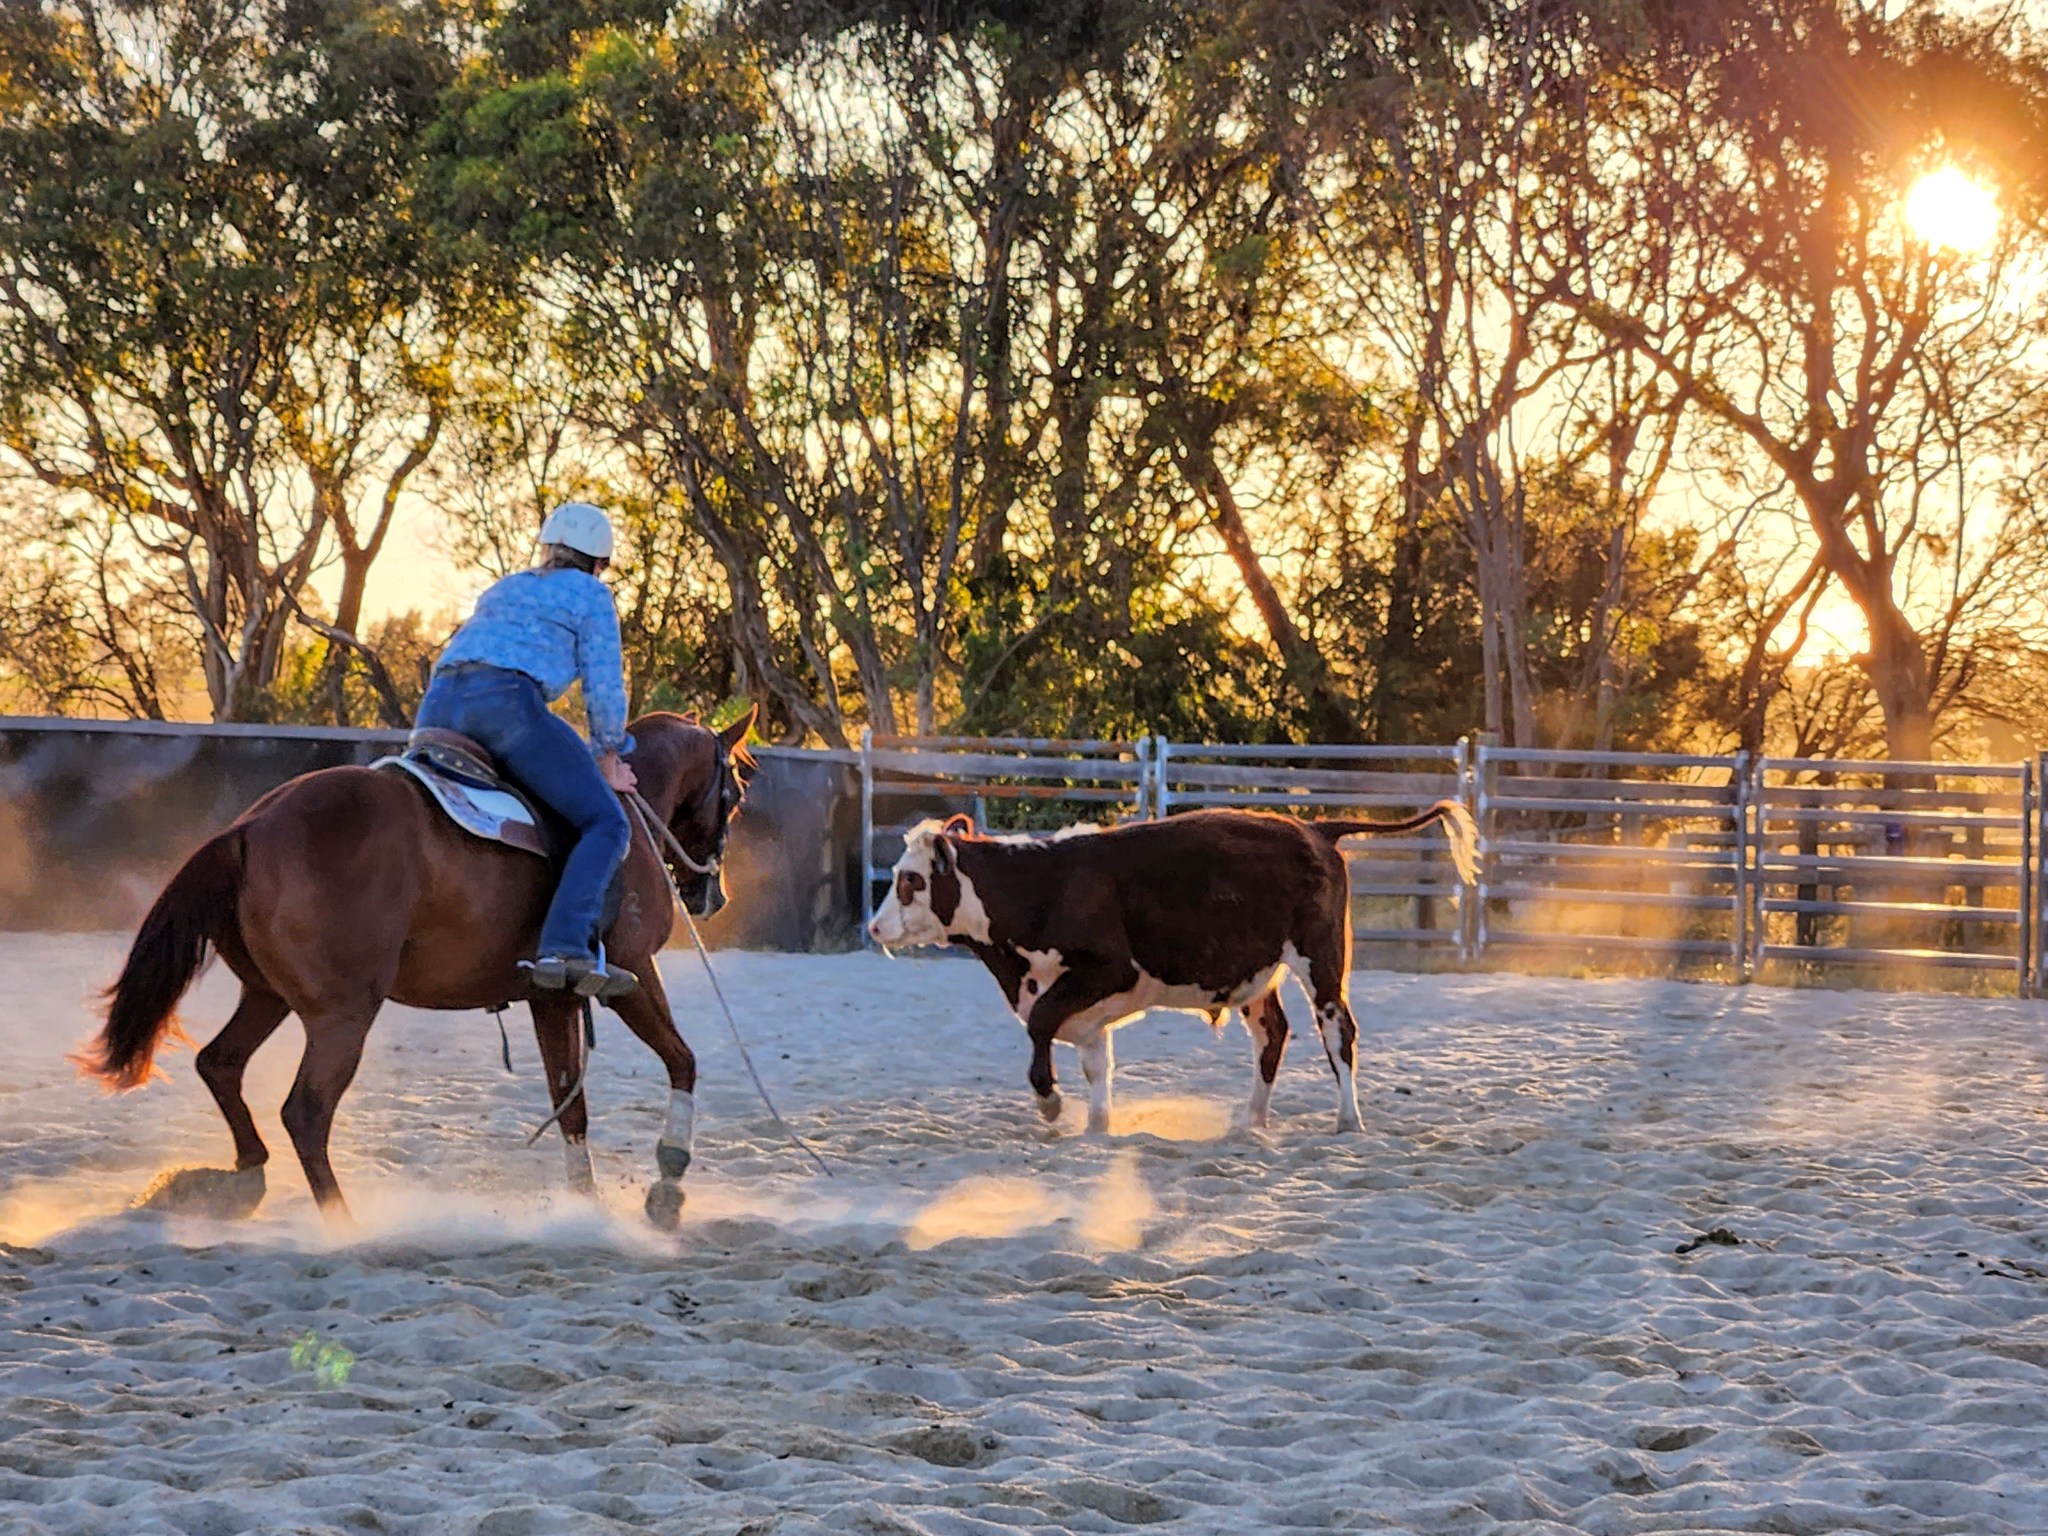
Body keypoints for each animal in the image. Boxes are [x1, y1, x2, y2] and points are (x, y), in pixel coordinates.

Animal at [71, 708, 755, 1229]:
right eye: (737, 796)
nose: (713, 896)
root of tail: (251, 827)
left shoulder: (551, 997)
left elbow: (571, 1106)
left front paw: (585, 1205)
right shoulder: (631, 974)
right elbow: (682, 1060)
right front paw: (668, 1183)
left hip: (270, 995)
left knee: (220, 1064)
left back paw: (240, 1178)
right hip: (343, 1014)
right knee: (305, 1112)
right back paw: (344, 1224)